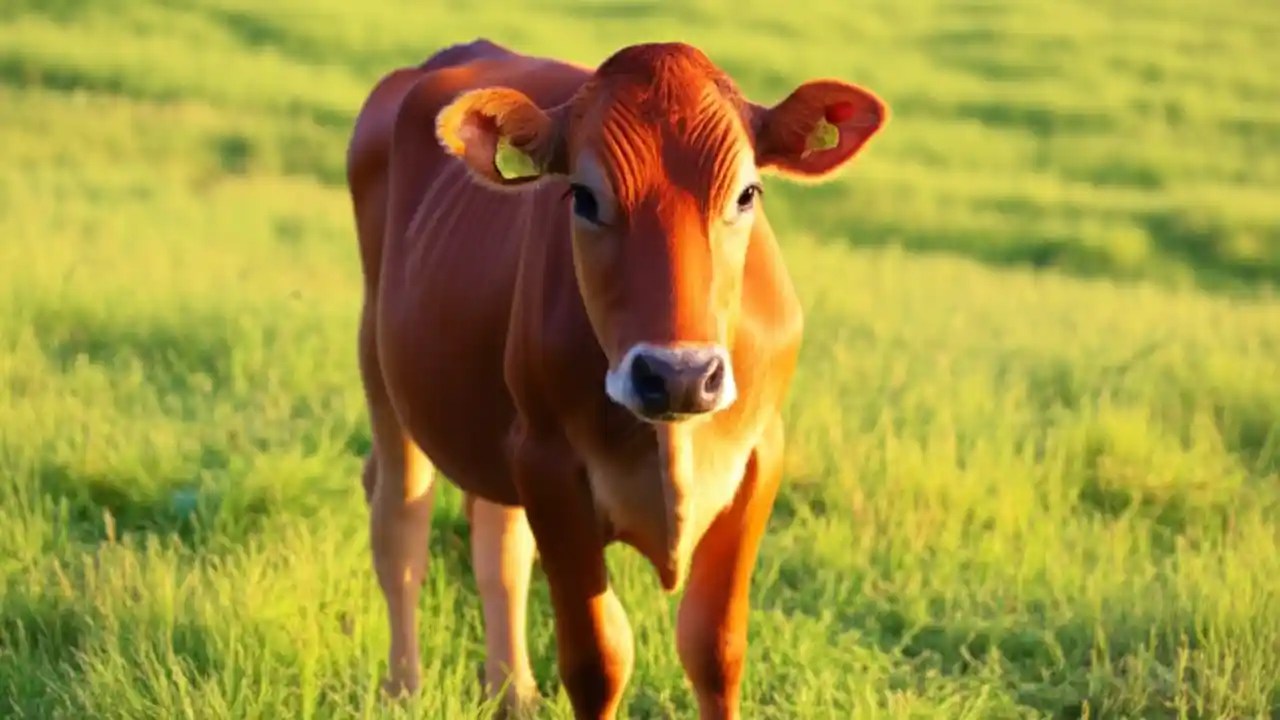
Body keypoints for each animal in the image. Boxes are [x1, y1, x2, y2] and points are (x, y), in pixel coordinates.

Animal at [344, 38, 886, 719]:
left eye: (747, 195)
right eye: (583, 197)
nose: (679, 375)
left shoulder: (762, 456)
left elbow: (716, 649)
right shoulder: (550, 465)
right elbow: (598, 659)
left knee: (498, 543)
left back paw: (513, 692)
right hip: (380, 361)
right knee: (400, 522)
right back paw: (404, 689)